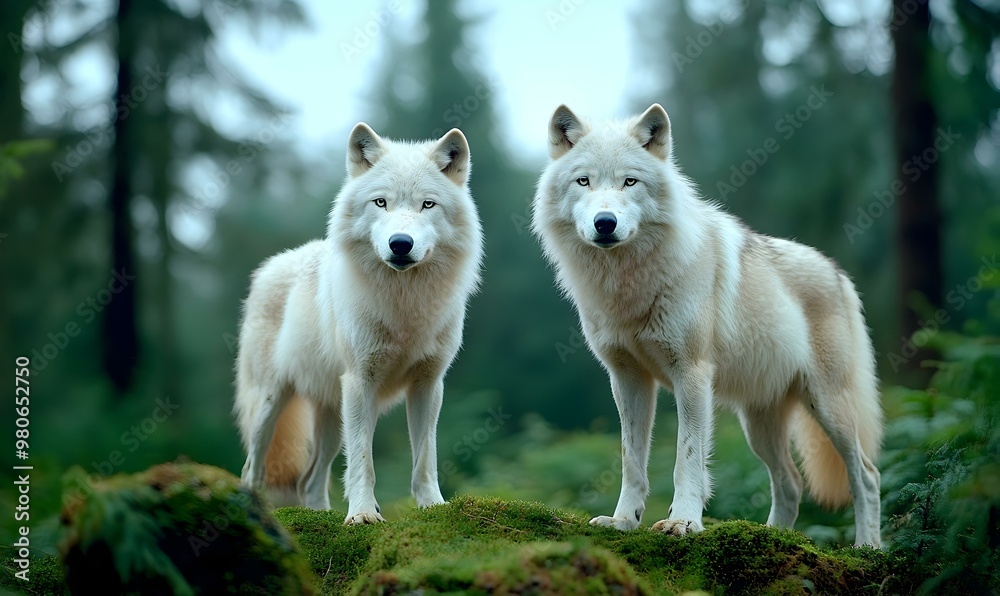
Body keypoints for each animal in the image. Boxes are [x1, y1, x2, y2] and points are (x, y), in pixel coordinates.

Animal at [234, 123, 482, 524]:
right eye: (380, 203)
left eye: (427, 204)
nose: (400, 244)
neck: (404, 305)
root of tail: (271, 265)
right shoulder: (360, 381)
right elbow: (363, 461)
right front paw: (363, 514)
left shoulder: (428, 385)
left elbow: (425, 457)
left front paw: (433, 505)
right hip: (273, 403)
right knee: (252, 467)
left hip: (333, 417)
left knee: (309, 481)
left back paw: (321, 515)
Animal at [531, 103, 883, 546]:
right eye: (584, 181)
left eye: (630, 181)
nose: (605, 222)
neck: (629, 285)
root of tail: (839, 274)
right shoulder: (627, 379)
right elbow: (631, 459)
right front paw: (624, 520)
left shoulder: (692, 375)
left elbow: (687, 458)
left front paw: (683, 522)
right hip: (758, 426)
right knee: (791, 483)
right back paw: (770, 536)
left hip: (828, 408)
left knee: (866, 475)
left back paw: (867, 547)